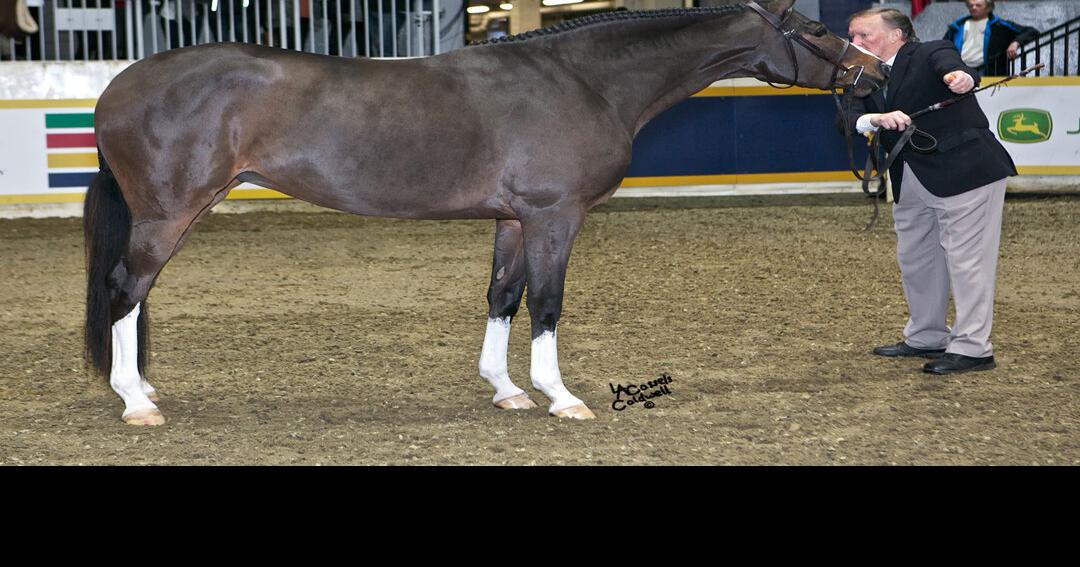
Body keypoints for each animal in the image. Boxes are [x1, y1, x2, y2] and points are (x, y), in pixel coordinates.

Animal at [85, 0, 886, 425]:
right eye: (818, 29)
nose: (875, 76)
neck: (583, 80)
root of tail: (119, 86)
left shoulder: (512, 220)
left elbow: (503, 296)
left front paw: (507, 390)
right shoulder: (555, 216)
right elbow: (548, 303)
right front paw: (562, 397)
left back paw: (144, 388)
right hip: (168, 214)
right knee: (126, 289)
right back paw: (135, 403)